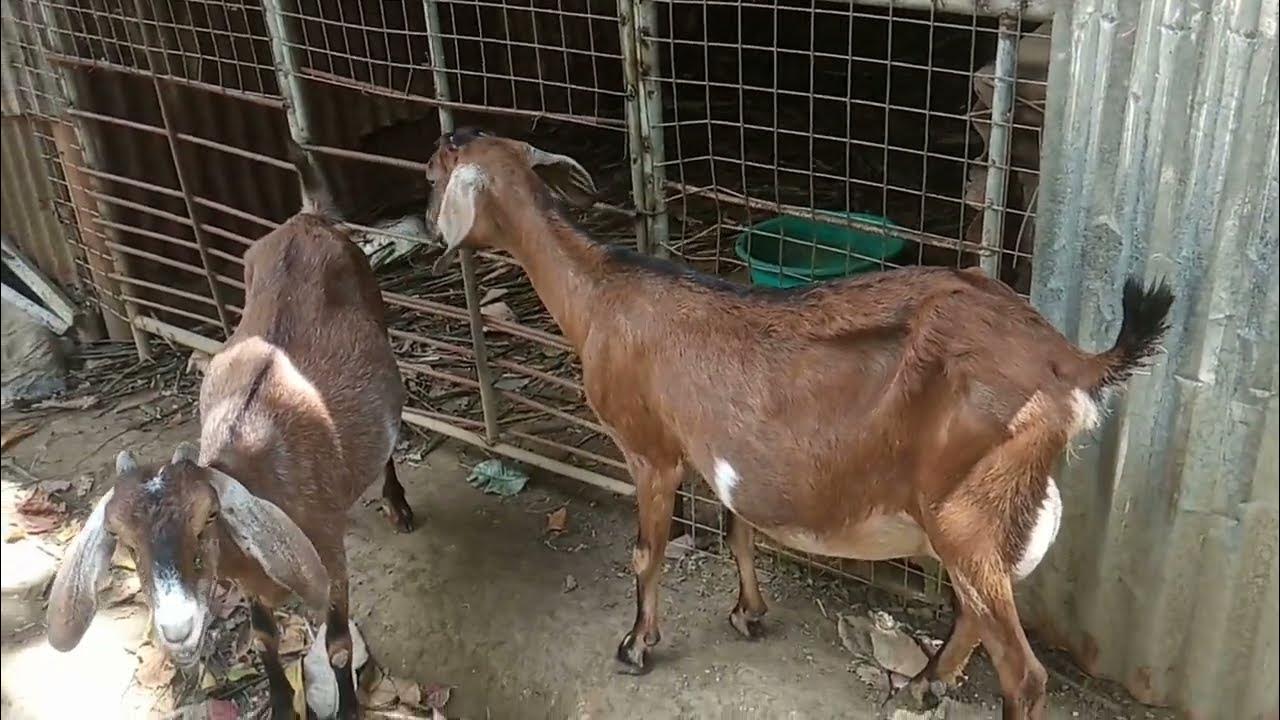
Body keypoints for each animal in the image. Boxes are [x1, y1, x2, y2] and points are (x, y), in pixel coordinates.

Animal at [46, 145, 413, 720]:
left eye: (208, 519)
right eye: (123, 539)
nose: (177, 628)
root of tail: (306, 219)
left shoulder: (330, 561)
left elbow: (337, 647)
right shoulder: (249, 583)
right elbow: (263, 641)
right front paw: (282, 707)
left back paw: (398, 504)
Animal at [419, 129, 1175, 720]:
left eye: (432, 172)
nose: (426, 227)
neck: (601, 293)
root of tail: (1071, 361)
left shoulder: (649, 448)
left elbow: (646, 552)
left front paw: (635, 647)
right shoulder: (729, 455)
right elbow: (739, 532)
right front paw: (747, 614)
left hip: (967, 506)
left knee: (1022, 671)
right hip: (972, 510)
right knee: (973, 612)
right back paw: (925, 684)